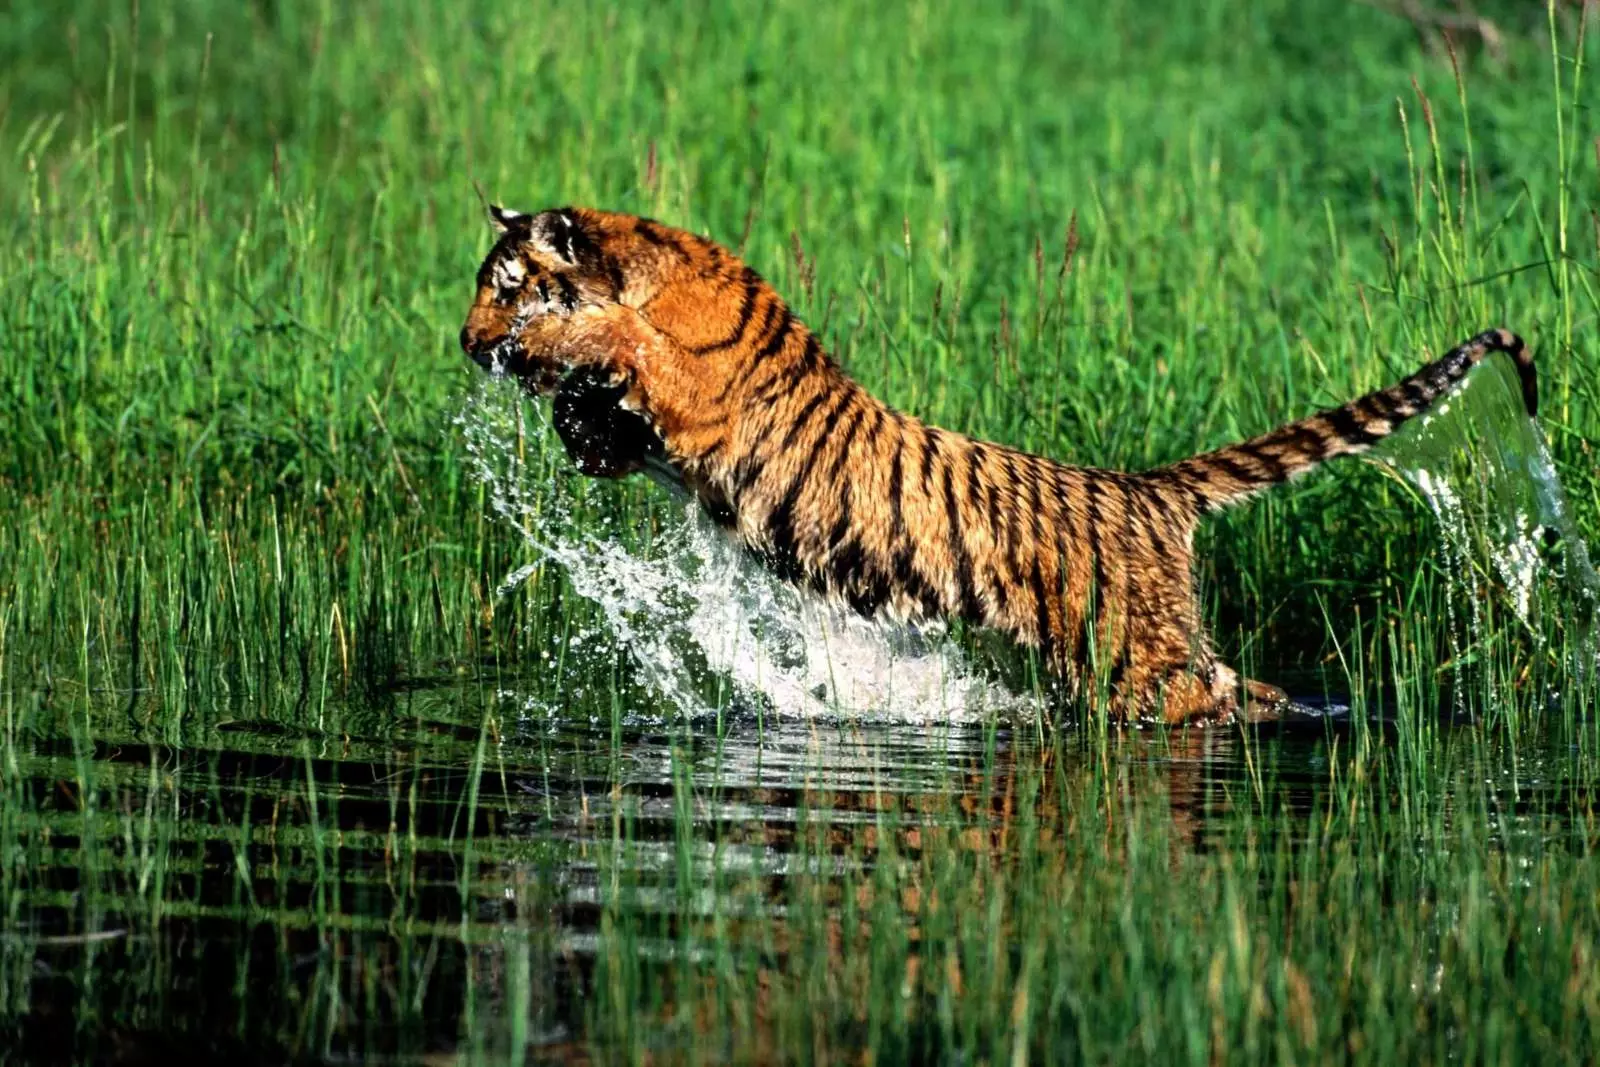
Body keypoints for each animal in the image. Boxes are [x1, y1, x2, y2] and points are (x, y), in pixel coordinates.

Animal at [460, 206, 1536, 726]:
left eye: (504, 288)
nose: (469, 345)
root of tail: (1150, 490)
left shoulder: (701, 395)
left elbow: (623, 340)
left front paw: (563, 344)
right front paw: (574, 415)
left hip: (1138, 660)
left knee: (1211, 695)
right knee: (1242, 681)